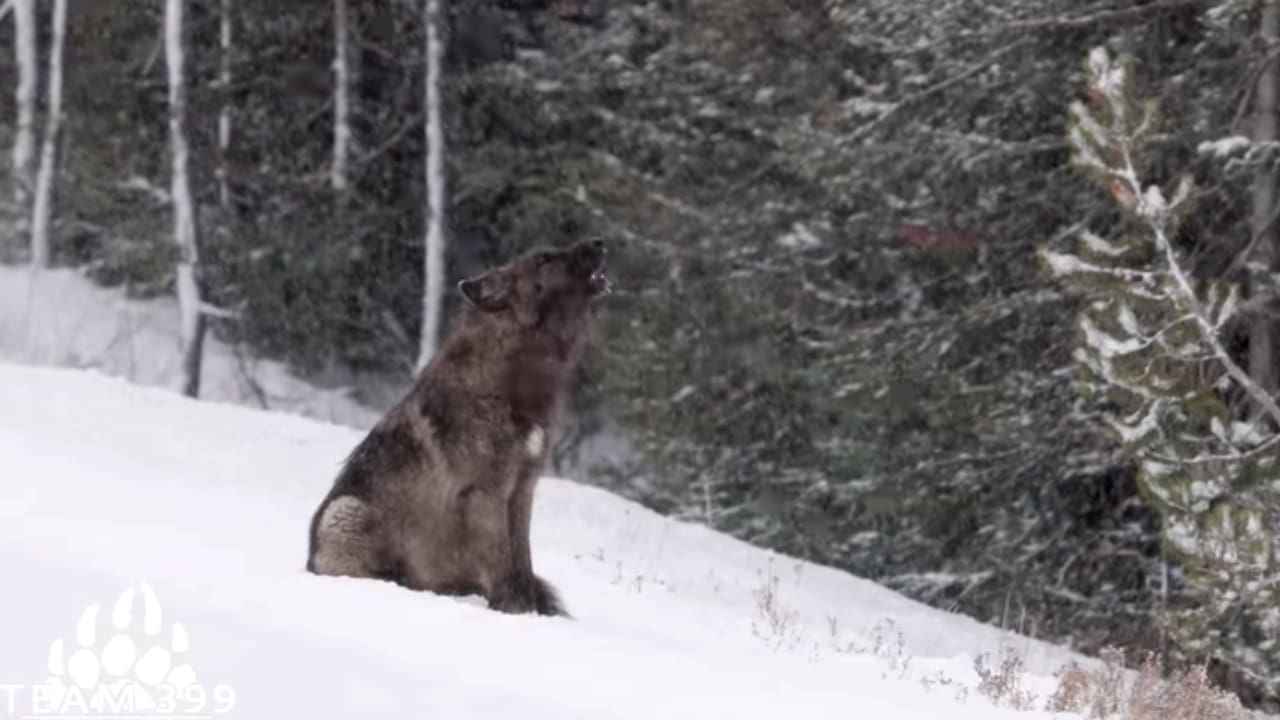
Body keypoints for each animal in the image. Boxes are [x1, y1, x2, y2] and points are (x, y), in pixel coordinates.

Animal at [306, 239, 610, 616]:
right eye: (546, 259)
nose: (600, 242)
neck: (511, 384)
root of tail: (309, 563)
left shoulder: (523, 489)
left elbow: (522, 560)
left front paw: (534, 611)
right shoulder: (486, 493)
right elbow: (503, 562)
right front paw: (514, 610)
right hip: (346, 510)